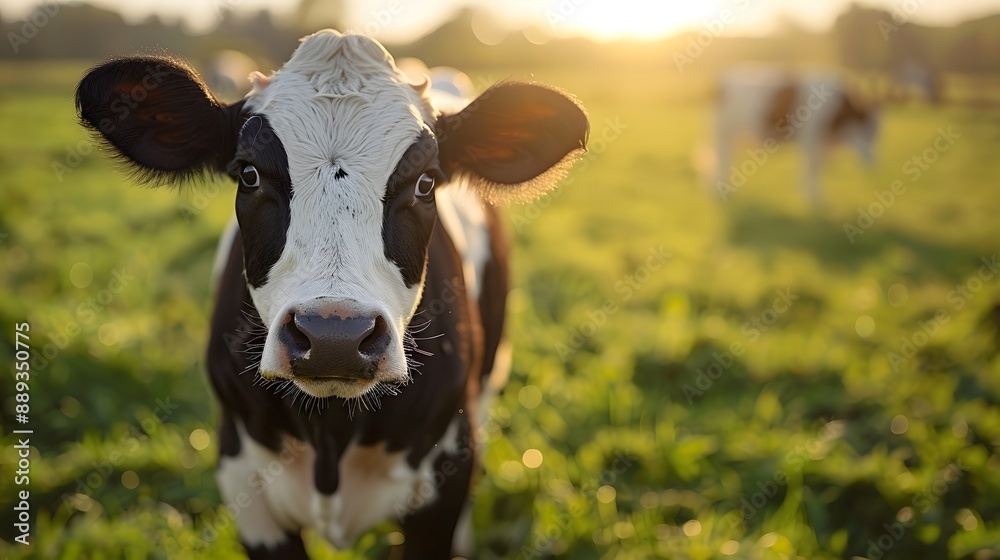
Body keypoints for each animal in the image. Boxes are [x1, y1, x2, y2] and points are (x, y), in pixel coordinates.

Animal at [75, 29, 588, 559]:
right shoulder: (244, 482)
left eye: (426, 182)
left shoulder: (446, 473)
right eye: (249, 174)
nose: (333, 337)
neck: (330, 435)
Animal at [710, 66, 879, 205]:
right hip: (722, 132)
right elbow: (813, 167)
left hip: (738, 137)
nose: (872, 161)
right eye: (863, 129)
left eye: (874, 134)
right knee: (722, 158)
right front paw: (816, 201)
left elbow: (817, 167)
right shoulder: (810, 137)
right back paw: (720, 191)